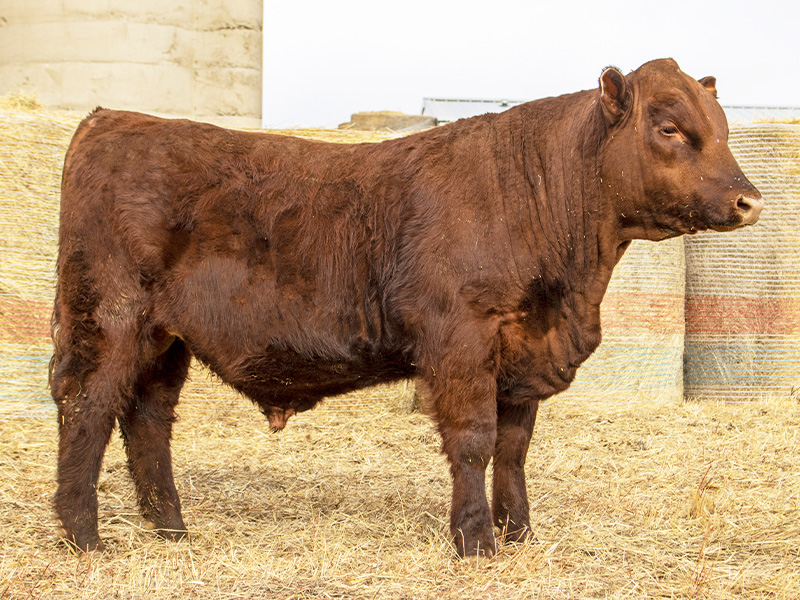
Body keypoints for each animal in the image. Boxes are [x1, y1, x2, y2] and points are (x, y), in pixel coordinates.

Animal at [50, 58, 762, 557]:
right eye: (668, 127)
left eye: (724, 128)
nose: (749, 200)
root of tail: (107, 120)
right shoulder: (462, 339)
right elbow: (474, 441)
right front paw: (476, 542)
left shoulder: (522, 352)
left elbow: (514, 448)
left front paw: (519, 533)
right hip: (110, 320)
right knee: (88, 409)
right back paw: (84, 536)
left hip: (164, 340)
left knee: (146, 418)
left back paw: (171, 528)